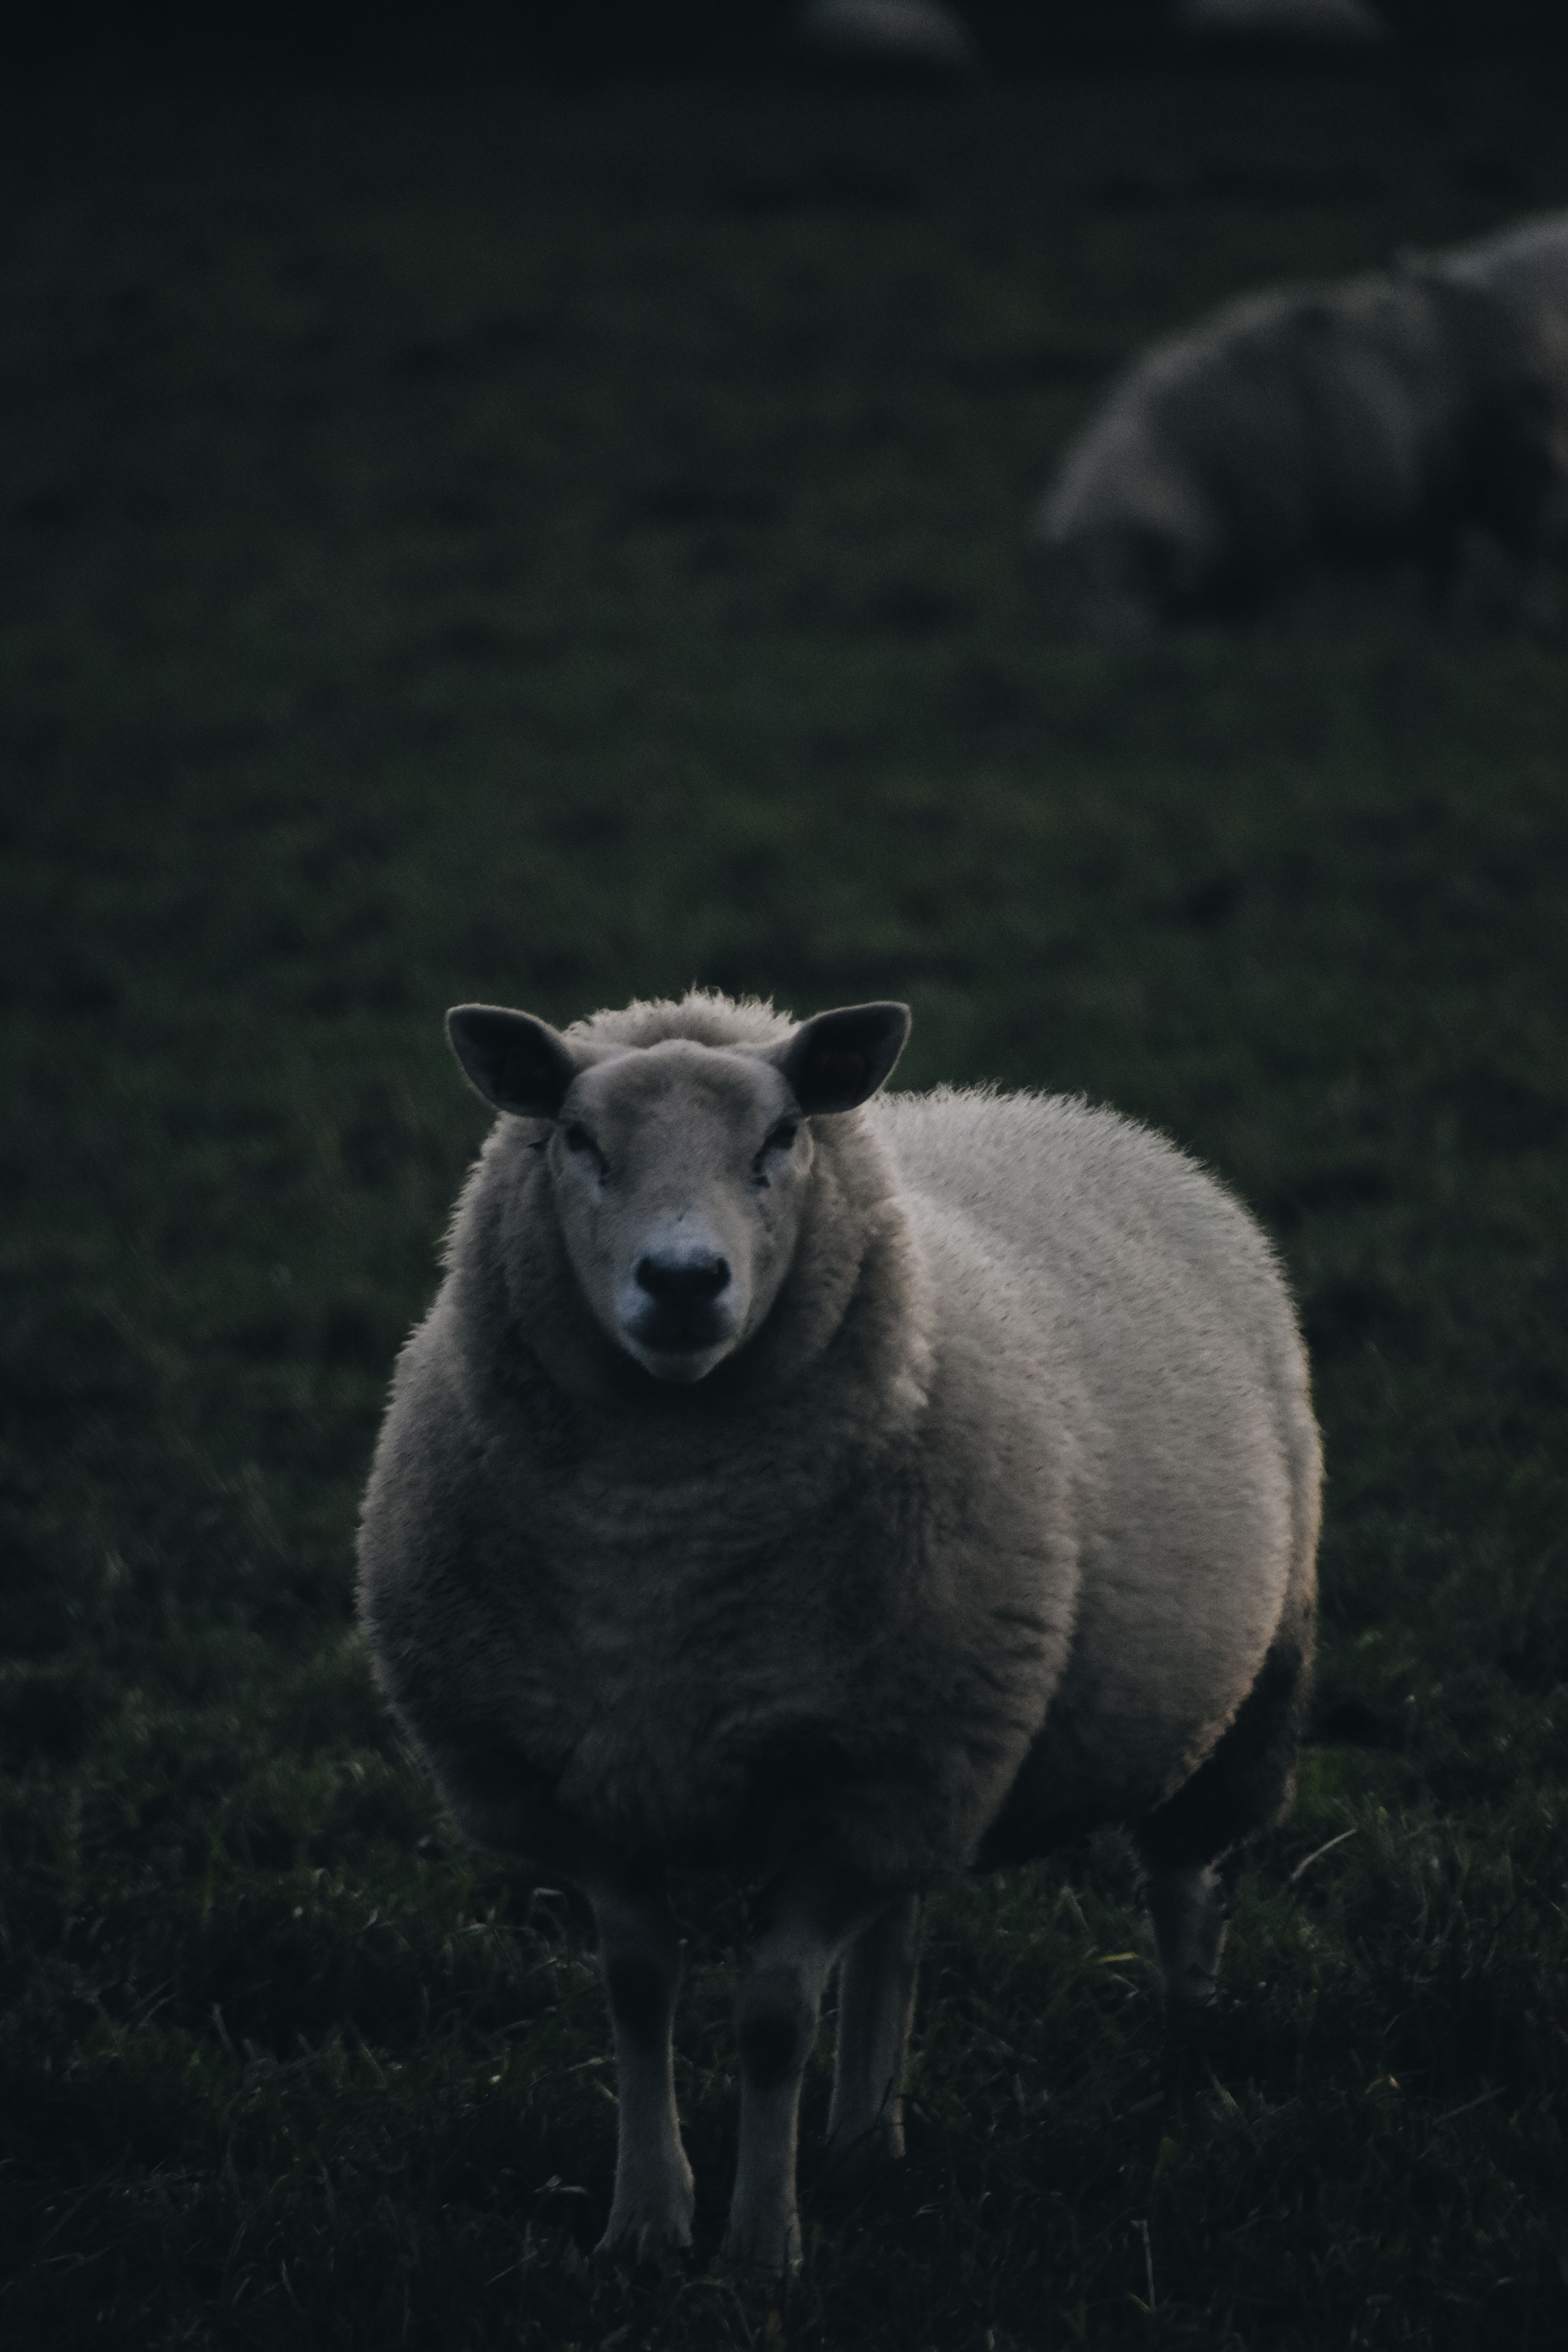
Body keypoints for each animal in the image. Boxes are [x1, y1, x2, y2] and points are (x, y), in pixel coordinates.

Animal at [357, 990, 1321, 2279]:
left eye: (780, 1137)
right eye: (574, 1136)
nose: (682, 1281)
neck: (661, 1549)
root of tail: (1053, 1107)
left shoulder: (855, 1783)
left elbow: (772, 2020)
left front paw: (762, 2245)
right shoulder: (599, 1789)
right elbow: (638, 1991)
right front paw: (647, 2220)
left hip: (1232, 1696)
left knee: (1182, 1885)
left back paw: (1181, 2071)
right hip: (940, 1745)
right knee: (897, 1935)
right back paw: (867, 2137)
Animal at [1034, 261, 1559, 637]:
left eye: (1136, 572)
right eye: (1083, 585)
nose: (1121, 647)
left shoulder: (1271, 535)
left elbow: (1265, 612)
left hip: (1510, 466)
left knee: (1528, 548)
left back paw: (1532, 624)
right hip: (1436, 500)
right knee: (1442, 564)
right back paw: (1424, 636)